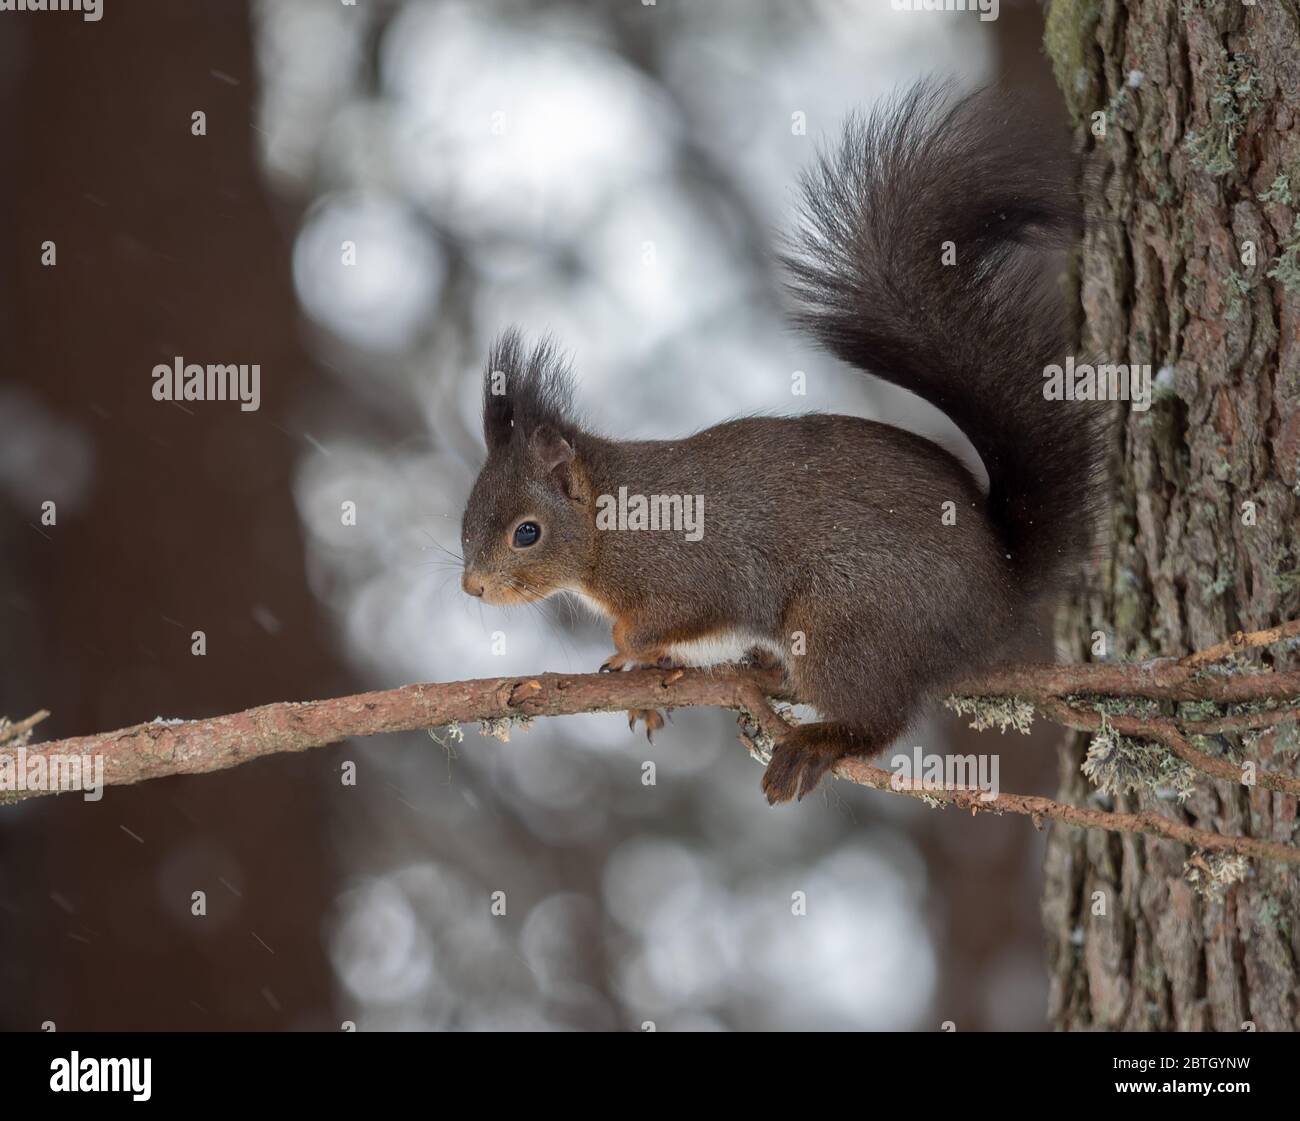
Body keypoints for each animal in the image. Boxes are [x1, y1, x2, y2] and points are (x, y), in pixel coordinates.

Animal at [460, 82, 1107, 805]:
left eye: (527, 533)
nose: (472, 587)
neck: (610, 526)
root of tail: (998, 598)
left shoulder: (692, 569)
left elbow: (672, 614)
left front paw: (627, 646)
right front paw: (646, 684)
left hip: (843, 621)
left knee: (879, 717)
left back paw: (816, 743)